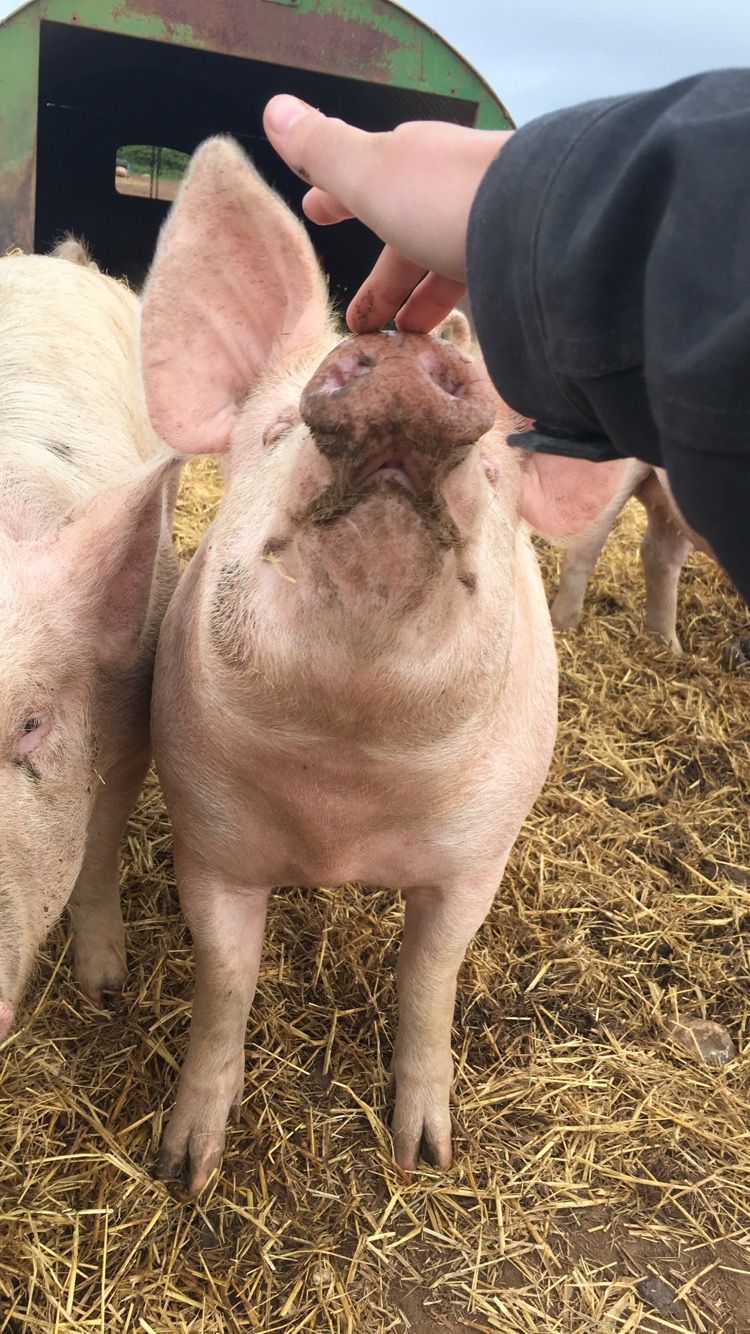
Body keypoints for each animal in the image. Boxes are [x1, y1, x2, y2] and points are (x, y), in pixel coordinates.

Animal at [139, 137, 620, 1194]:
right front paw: (186, 1170)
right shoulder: (209, 838)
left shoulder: (478, 855)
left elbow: (429, 978)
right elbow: (225, 981)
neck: (346, 786)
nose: (401, 344)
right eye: (271, 433)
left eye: (498, 474)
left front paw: (423, 1157)